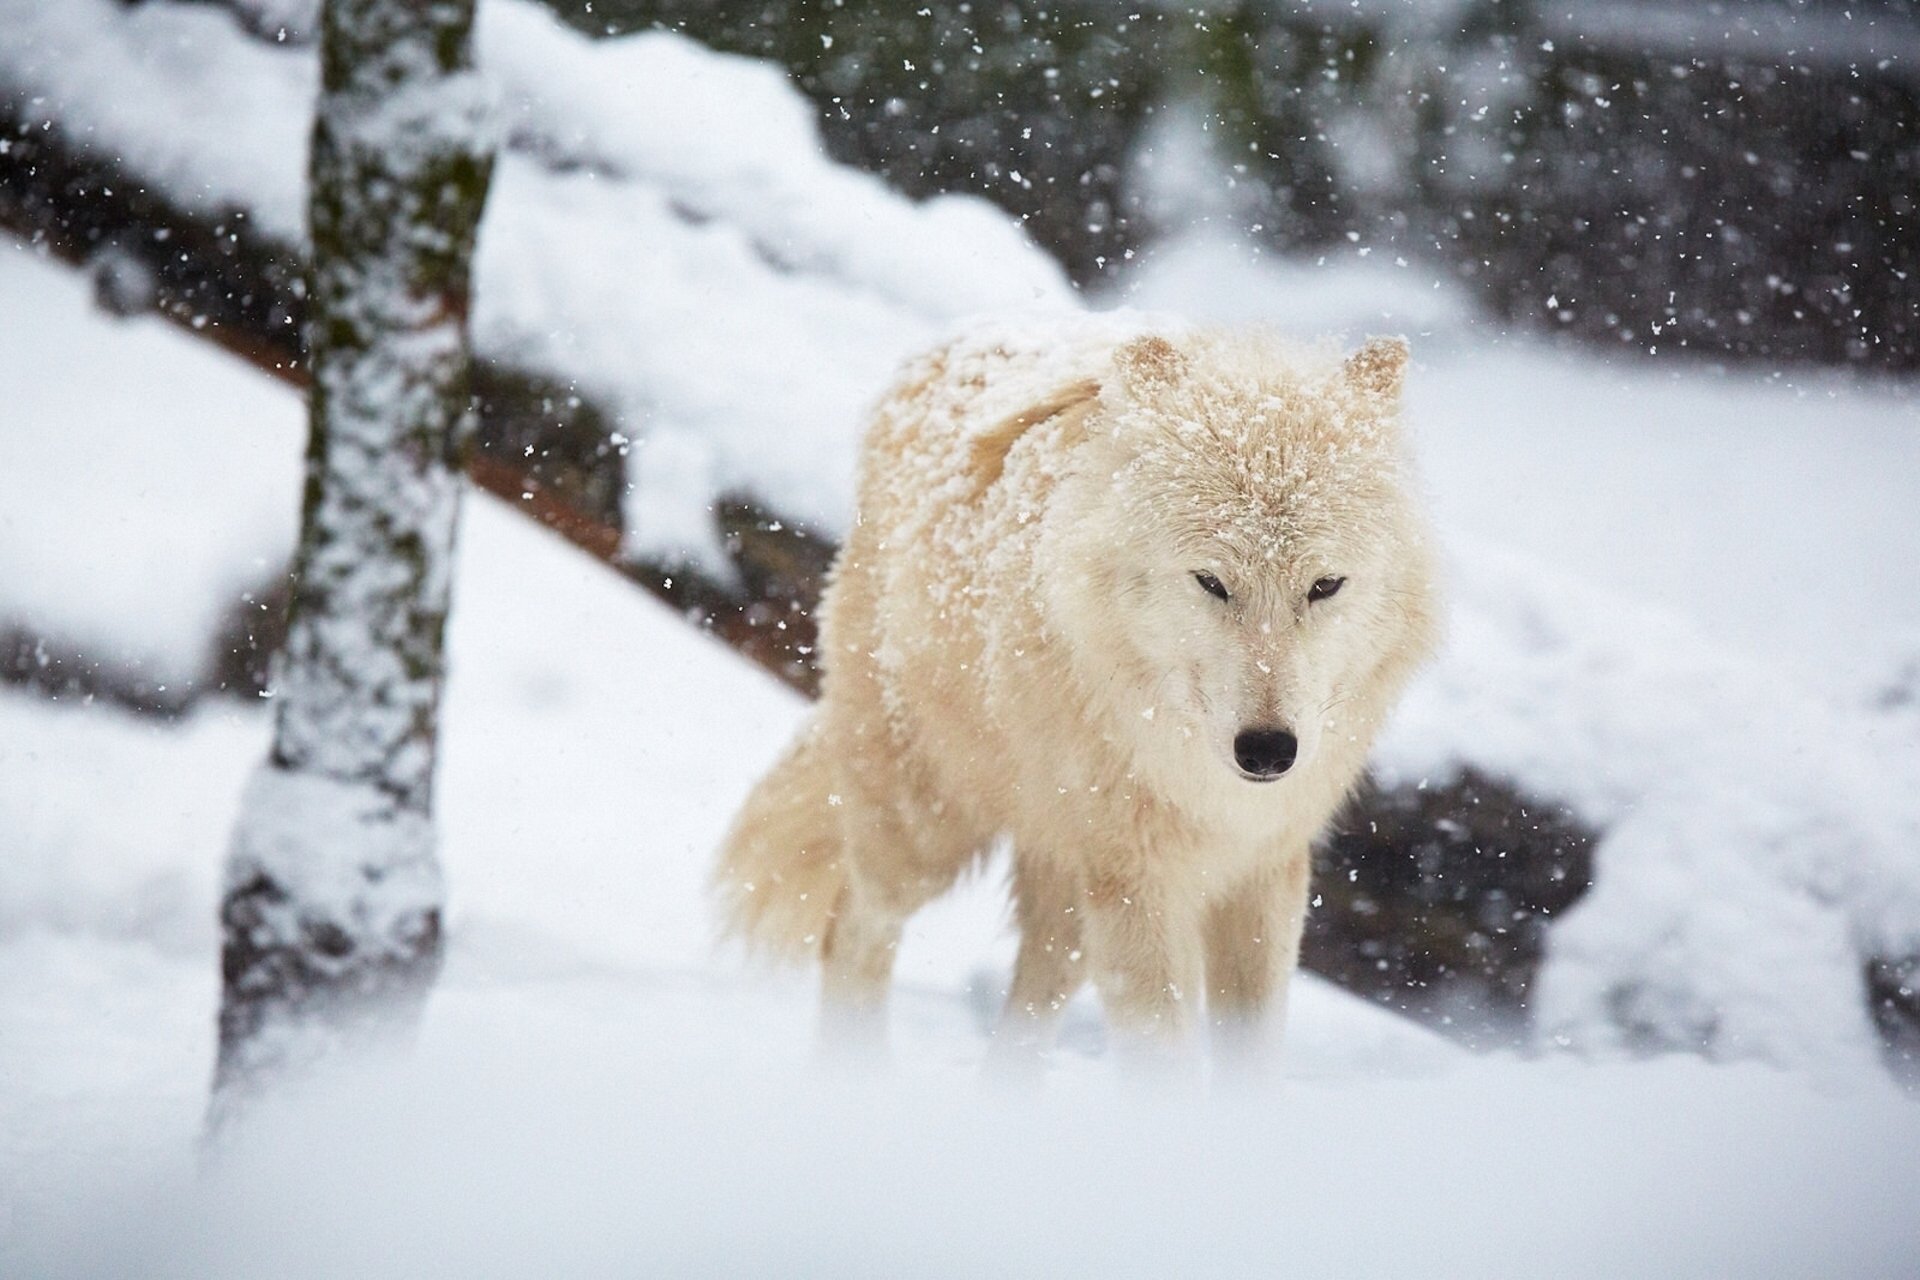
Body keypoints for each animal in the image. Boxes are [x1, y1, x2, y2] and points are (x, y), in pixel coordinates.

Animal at [714, 319, 1439, 1073]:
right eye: (1211, 582)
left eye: (1325, 586)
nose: (1269, 751)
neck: (1203, 788)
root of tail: (943, 348)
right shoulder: (1138, 883)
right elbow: (1165, 1066)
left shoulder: (1263, 871)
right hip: (927, 831)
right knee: (852, 931)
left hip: (1066, 897)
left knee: (1026, 1013)